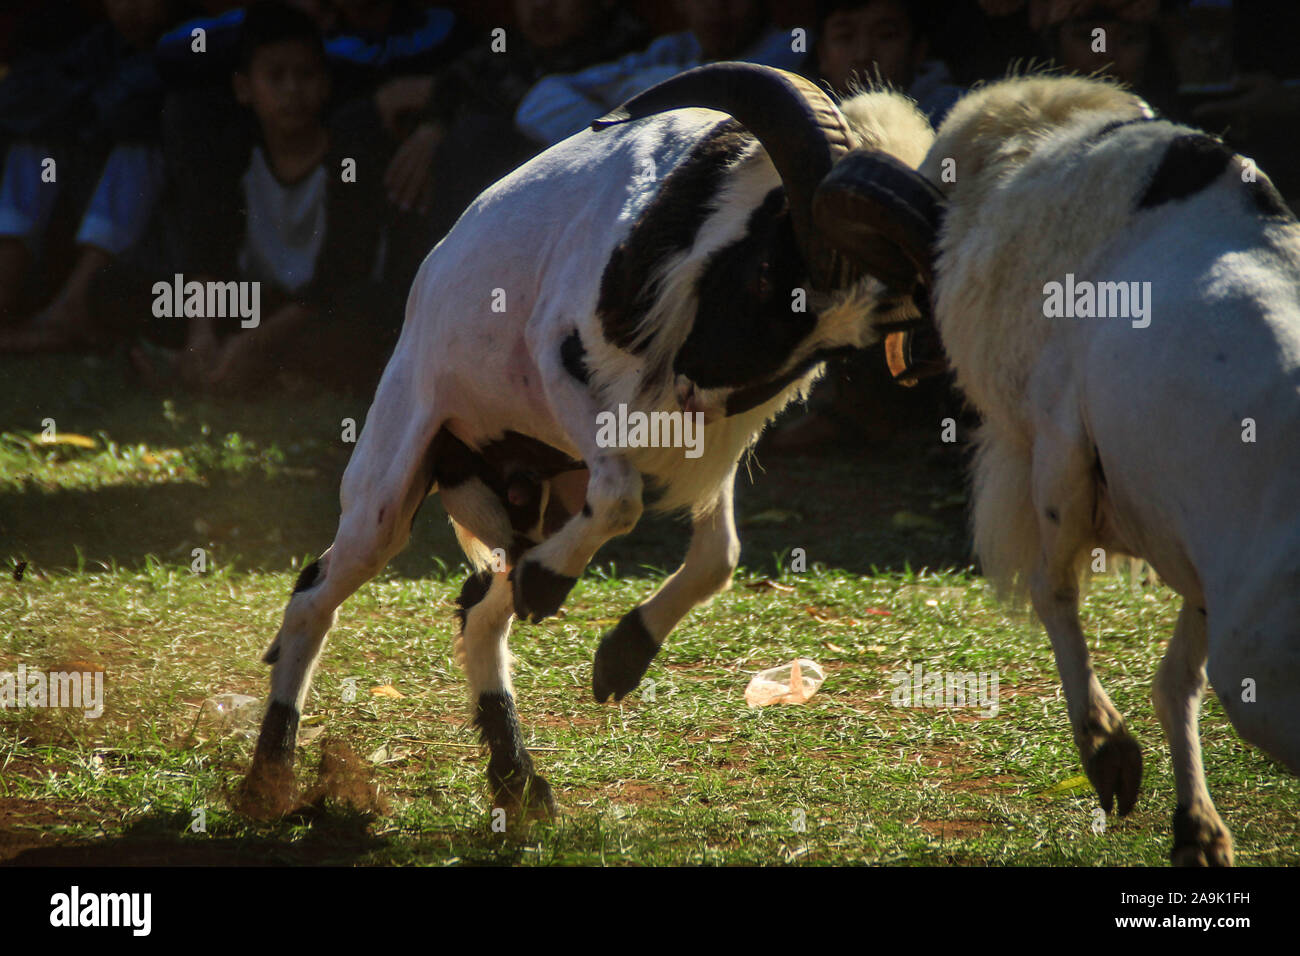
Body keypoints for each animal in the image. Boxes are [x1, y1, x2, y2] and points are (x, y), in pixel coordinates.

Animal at [241, 63, 940, 817]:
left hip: (535, 498)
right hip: (395, 467)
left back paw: (518, 784)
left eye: (836, 348)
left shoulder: (717, 438)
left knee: (481, 610)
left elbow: (718, 555)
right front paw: (557, 589)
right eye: (764, 278)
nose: (694, 394)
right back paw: (268, 777)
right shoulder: (566, 364)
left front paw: (620, 656)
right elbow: (622, 498)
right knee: (318, 592)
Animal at [816, 74, 1300, 865]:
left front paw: (1107, 752)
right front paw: (1194, 828)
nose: (897, 354)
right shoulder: (1200, 559)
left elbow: (1055, 592)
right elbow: (1173, 677)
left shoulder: (1055, 443)